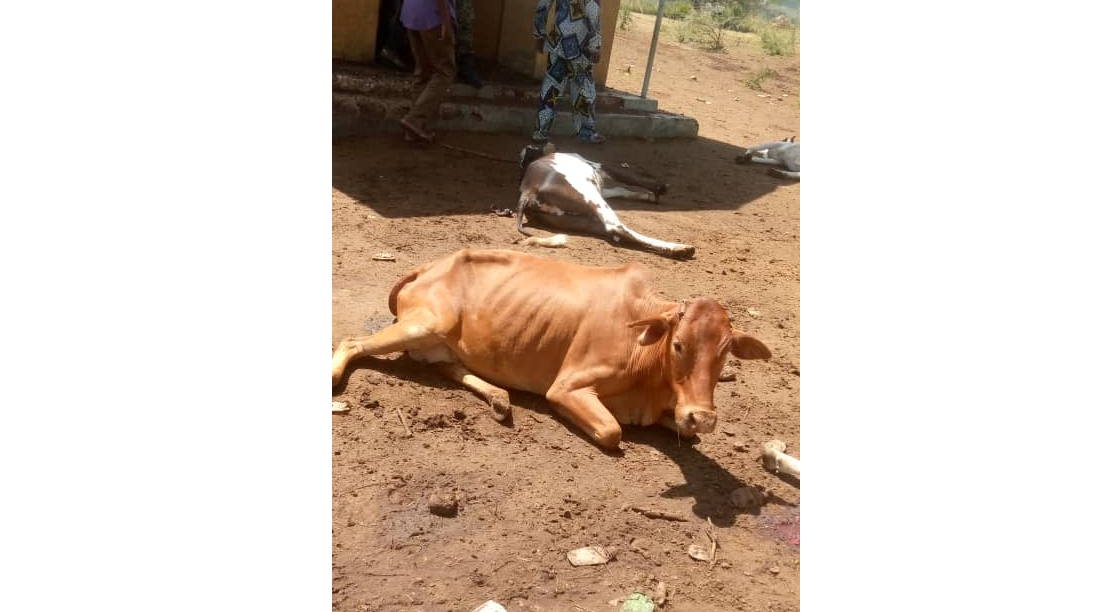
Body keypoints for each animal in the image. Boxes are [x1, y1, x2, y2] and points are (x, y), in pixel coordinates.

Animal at [331, 249, 771, 450]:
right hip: (425, 323)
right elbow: (612, 431)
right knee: (352, 342)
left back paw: (499, 398)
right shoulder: (567, 387)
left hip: (437, 341)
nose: (704, 417)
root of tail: (429, 266)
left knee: (444, 366)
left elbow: (684, 434)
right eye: (678, 344)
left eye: (725, 354)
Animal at [516, 144, 696, 259]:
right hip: (590, 196)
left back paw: (678, 250)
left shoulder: (602, 187)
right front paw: (659, 188)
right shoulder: (599, 167)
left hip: (576, 218)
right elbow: (628, 178)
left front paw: (648, 196)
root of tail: (528, 193)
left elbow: (621, 190)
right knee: (616, 226)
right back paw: (678, 248)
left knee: (613, 231)